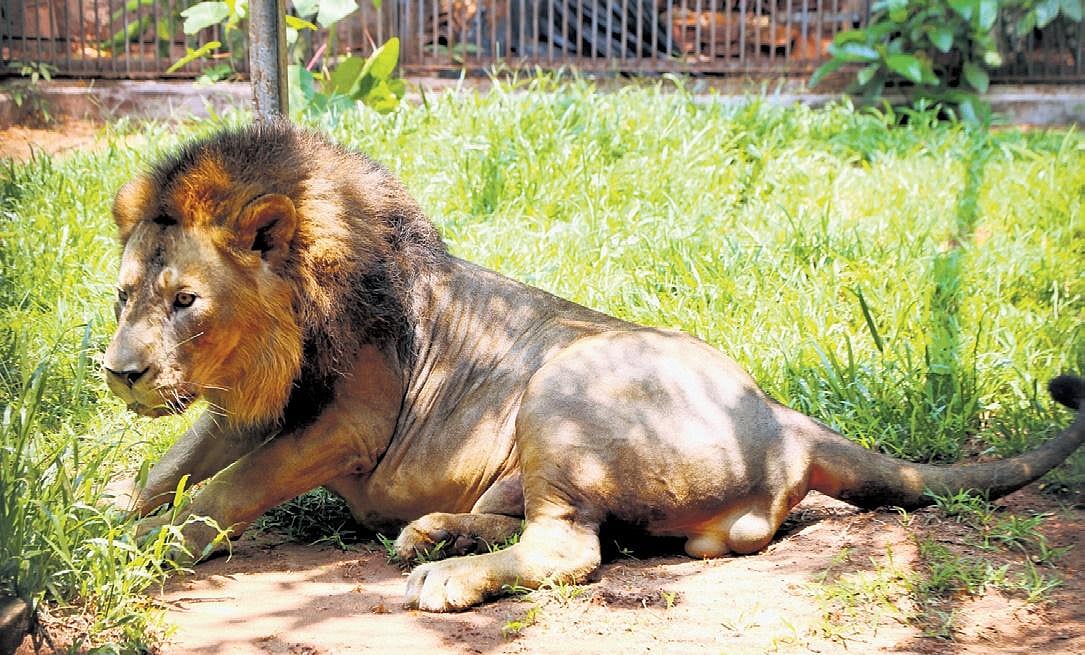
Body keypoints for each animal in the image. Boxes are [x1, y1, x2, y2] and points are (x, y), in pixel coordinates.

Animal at [103, 121, 1085, 612]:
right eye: (123, 296)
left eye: (185, 300)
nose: (118, 373)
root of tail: (782, 416)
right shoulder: (251, 405)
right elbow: (173, 463)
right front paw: (103, 513)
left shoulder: (349, 419)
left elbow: (227, 489)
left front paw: (140, 549)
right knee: (561, 527)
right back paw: (436, 533)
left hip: (564, 377)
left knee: (571, 548)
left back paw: (445, 572)